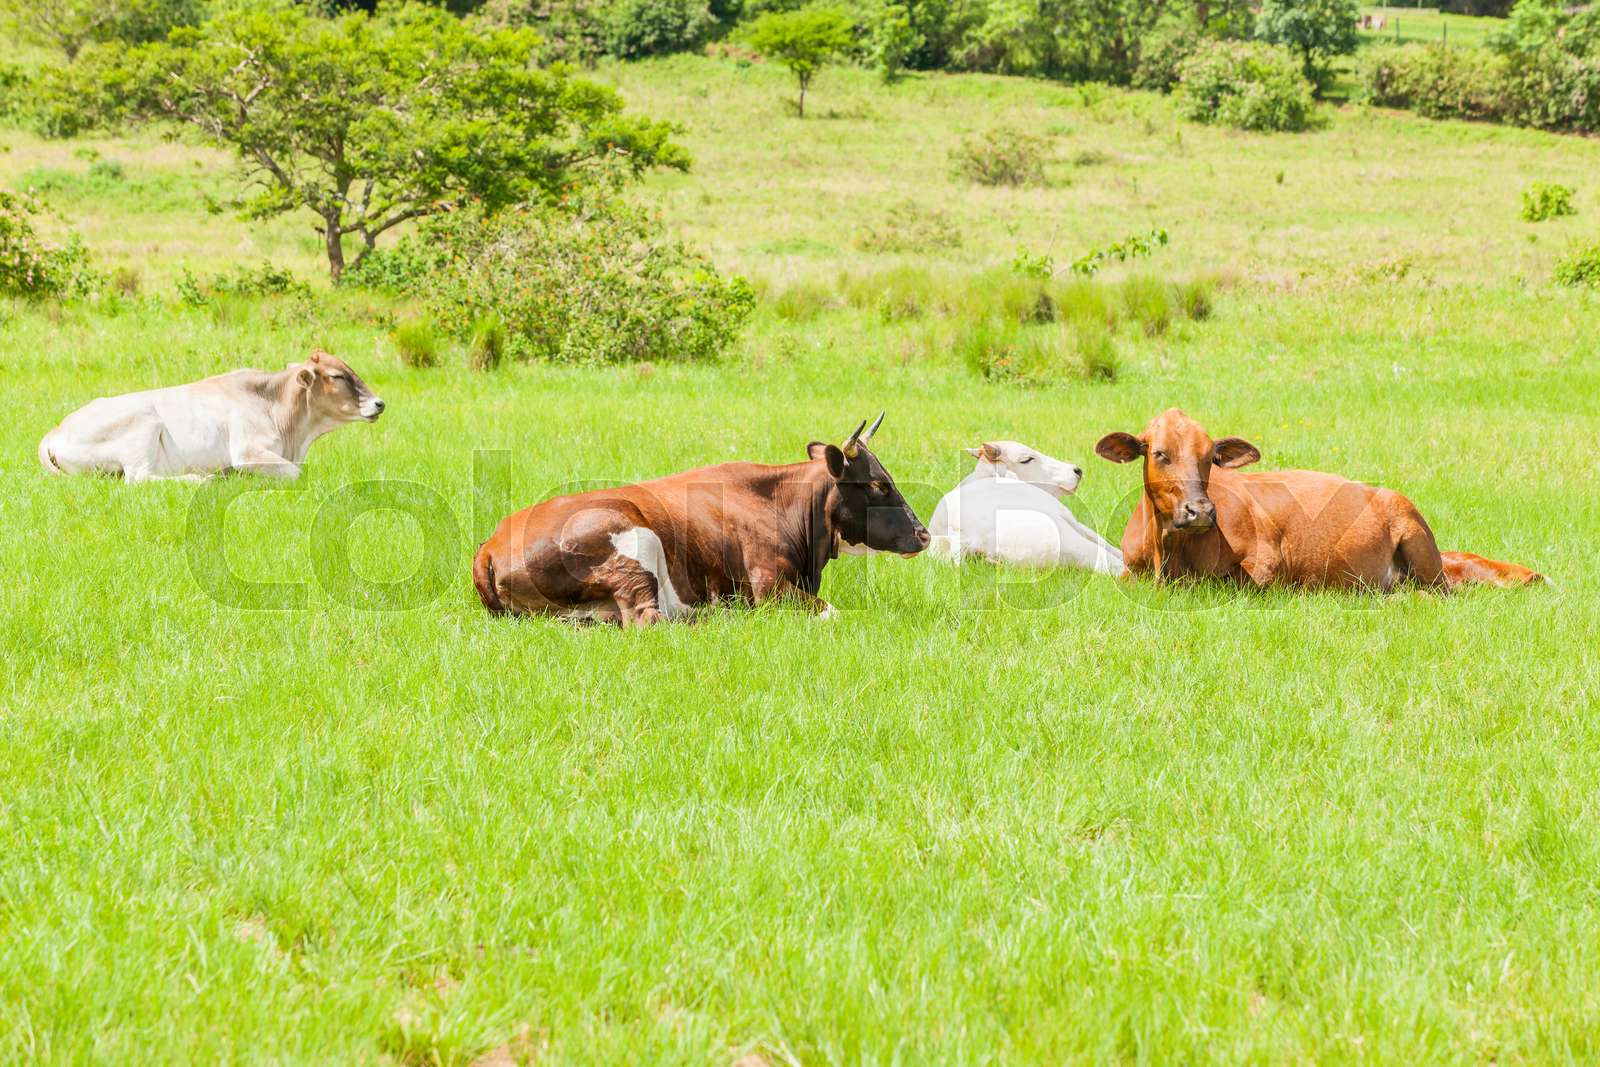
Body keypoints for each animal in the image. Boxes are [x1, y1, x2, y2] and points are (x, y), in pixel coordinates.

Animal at [38, 349, 383, 482]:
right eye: (338, 376)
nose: (380, 403)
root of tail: (56, 430)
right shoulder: (248, 452)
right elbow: (297, 473)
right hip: (145, 422)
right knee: (139, 478)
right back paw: (200, 478)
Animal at [472, 414, 930, 625]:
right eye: (879, 484)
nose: (924, 534)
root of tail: (492, 544)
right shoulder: (771, 589)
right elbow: (832, 611)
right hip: (634, 545)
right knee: (648, 619)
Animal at [1094, 408, 1542, 591]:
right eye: (1159, 453)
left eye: (1210, 457)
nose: (1201, 511)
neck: (1167, 557)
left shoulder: (1266, 567)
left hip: (1419, 547)